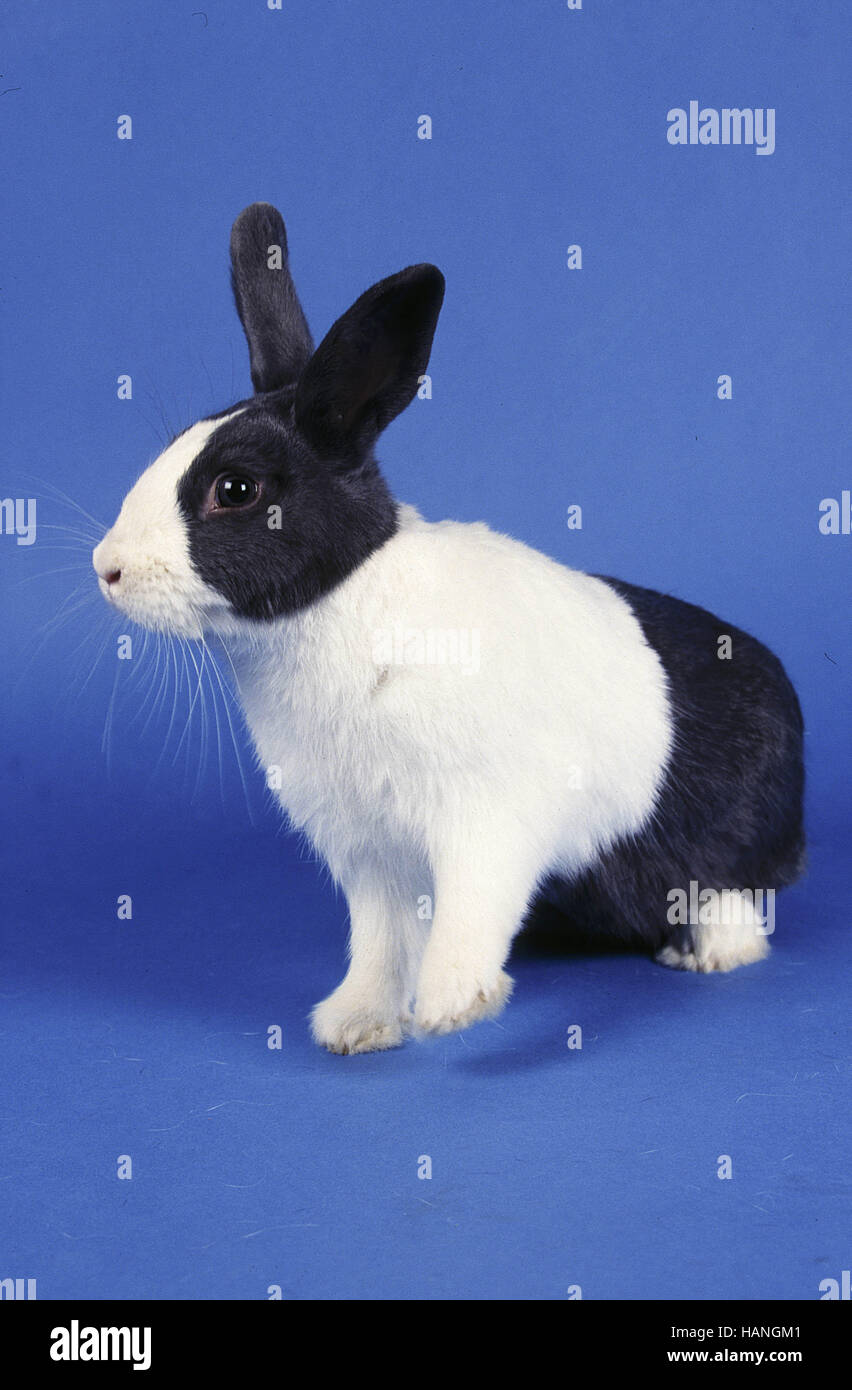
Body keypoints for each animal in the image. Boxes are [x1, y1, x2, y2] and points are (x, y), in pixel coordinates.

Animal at [92, 202, 806, 1053]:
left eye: (235, 490)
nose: (106, 568)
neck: (340, 608)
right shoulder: (371, 854)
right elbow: (380, 939)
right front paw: (356, 1025)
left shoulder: (488, 817)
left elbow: (473, 905)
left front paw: (453, 1003)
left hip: (731, 842)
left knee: (733, 898)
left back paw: (706, 957)